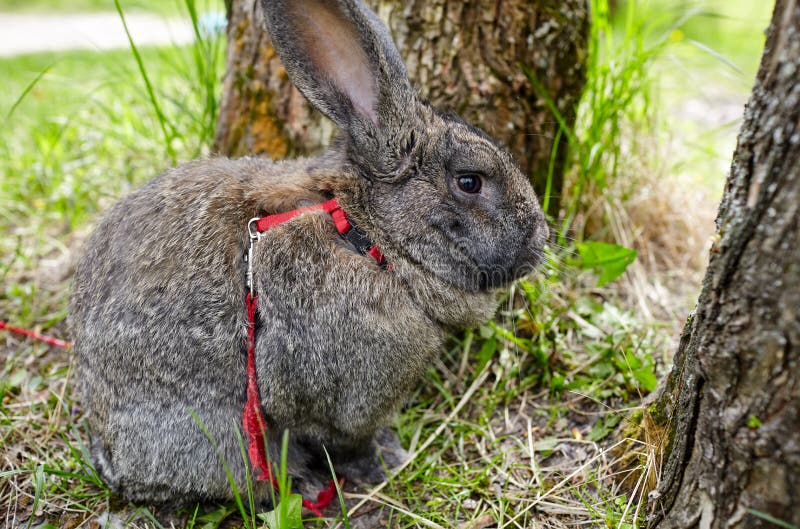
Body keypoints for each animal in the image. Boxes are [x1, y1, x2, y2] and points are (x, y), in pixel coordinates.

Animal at [68, 0, 549, 507]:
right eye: (469, 182)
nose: (540, 239)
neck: (366, 236)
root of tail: (112, 456)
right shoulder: (338, 396)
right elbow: (344, 438)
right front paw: (384, 461)